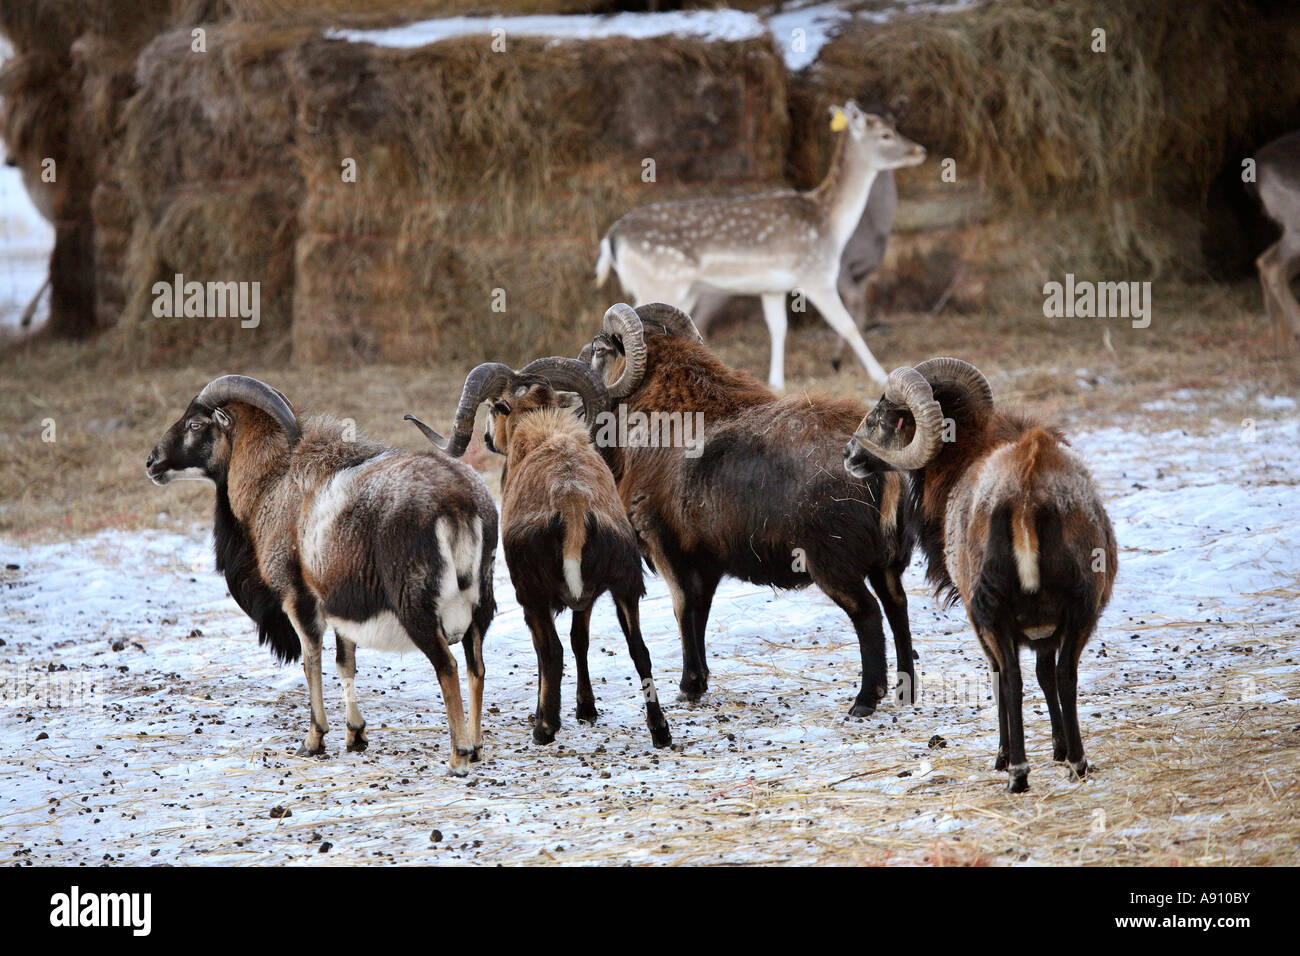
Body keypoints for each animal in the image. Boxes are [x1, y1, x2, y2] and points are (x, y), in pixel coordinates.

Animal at [145, 375, 497, 775]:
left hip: (418, 610)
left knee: (448, 667)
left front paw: (313, 740)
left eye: (195, 424)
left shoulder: (298, 598)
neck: (273, 485)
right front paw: (355, 736)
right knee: (476, 667)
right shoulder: (340, 603)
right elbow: (346, 663)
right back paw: (476, 747)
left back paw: (458, 757)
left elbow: (310, 659)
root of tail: (459, 504)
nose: (152, 462)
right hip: (481, 606)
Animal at [405, 358, 671, 748]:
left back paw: (544, 728)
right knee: (639, 651)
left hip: (532, 593)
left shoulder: (533, 600)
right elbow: (580, 641)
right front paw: (586, 709)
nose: (488, 438)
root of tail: (573, 508)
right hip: (626, 586)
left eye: (494, 407)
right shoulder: (585, 600)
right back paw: (660, 731)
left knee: (552, 652)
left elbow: (547, 652)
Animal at [577, 302, 916, 716]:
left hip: (833, 562)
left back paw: (865, 700)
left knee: (868, 615)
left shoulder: (665, 545)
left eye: (598, 349)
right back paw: (905, 689)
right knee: (897, 605)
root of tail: (881, 464)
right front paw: (699, 682)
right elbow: (699, 611)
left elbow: (682, 608)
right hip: (886, 560)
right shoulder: (704, 559)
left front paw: (689, 686)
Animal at [843, 358, 1117, 792]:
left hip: (992, 612)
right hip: (1082, 609)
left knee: (1010, 678)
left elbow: (999, 677)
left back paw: (1016, 772)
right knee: (1064, 675)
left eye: (883, 415)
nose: (849, 453)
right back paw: (1077, 762)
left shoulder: (978, 617)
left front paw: (1004, 758)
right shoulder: (1046, 629)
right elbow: (1045, 675)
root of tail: (1027, 491)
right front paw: (1058, 750)